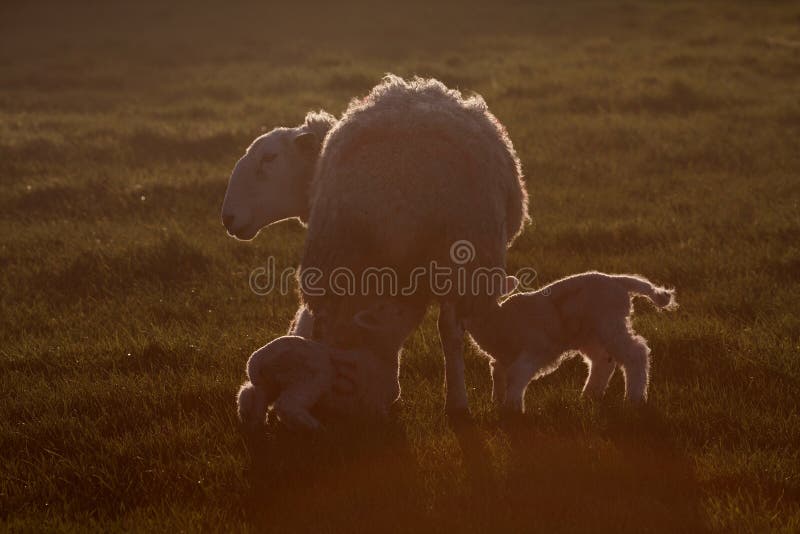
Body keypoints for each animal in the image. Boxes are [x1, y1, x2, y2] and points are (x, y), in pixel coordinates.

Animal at [237, 297, 426, 431]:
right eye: (399, 312)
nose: (419, 309)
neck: (380, 353)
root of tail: (256, 362)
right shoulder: (375, 403)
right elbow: (380, 418)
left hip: (268, 384)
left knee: (251, 396)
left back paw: (256, 423)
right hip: (309, 377)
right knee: (287, 405)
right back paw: (315, 428)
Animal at [299, 75, 530, 416]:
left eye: (346, 377)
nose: (340, 414)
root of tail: (414, 88)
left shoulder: (456, 265)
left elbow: (449, 333)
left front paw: (457, 403)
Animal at [466, 272, 677, 413]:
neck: (498, 318)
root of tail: (617, 281)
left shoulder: (537, 347)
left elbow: (516, 374)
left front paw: (513, 409)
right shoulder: (502, 358)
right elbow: (498, 375)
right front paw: (498, 404)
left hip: (609, 321)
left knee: (636, 353)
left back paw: (634, 399)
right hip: (589, 334)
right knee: (603, 361)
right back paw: (589, 395)